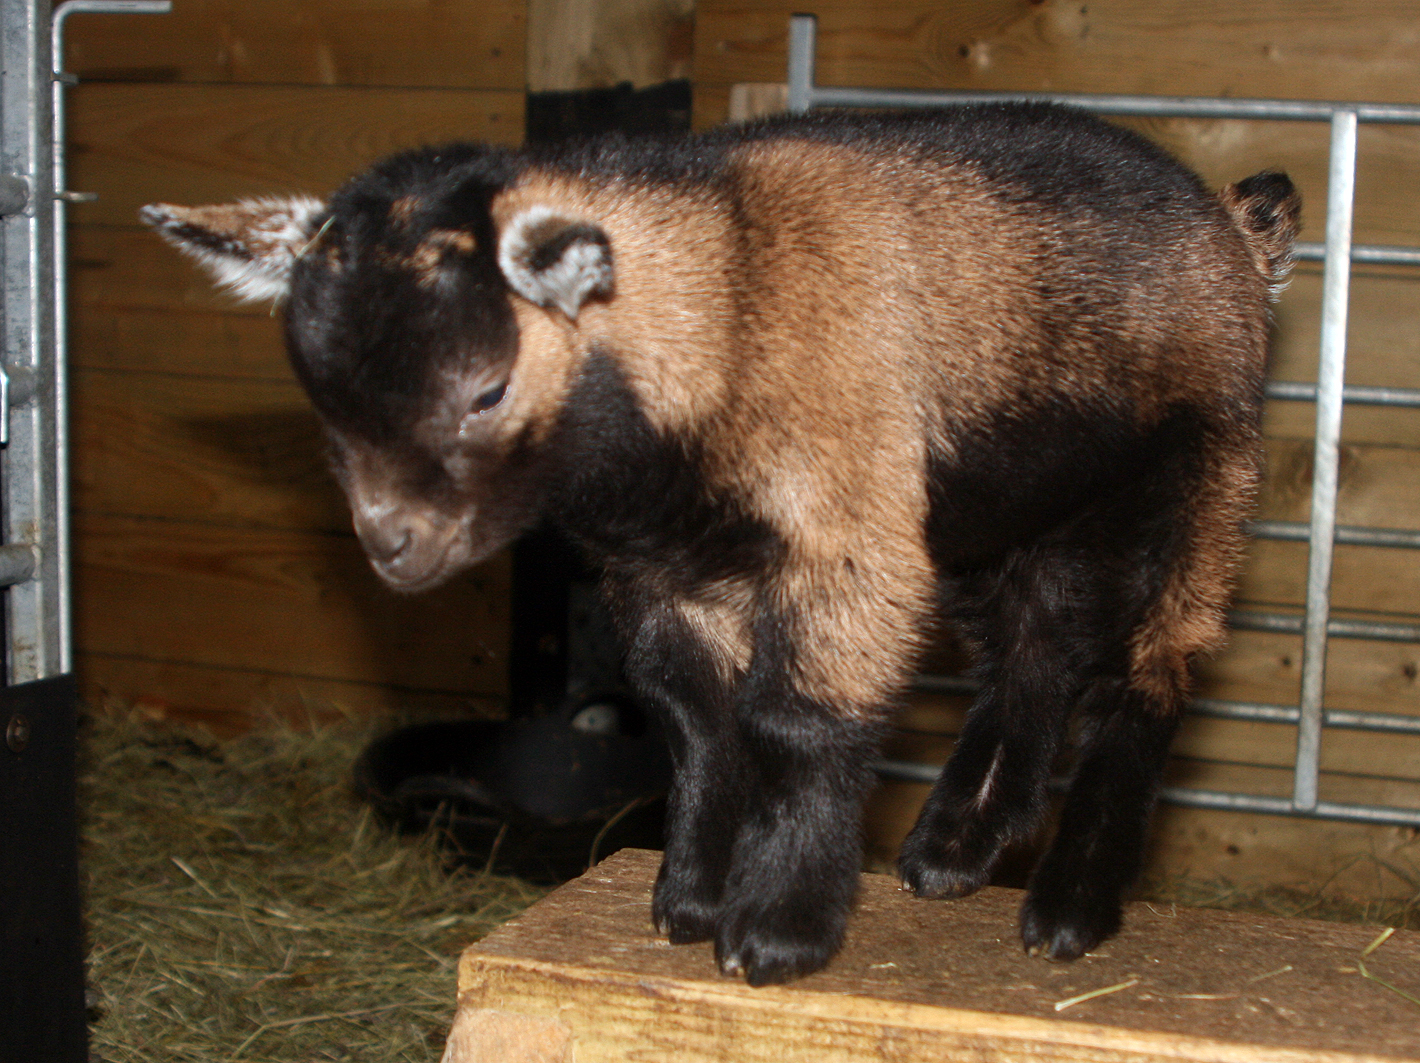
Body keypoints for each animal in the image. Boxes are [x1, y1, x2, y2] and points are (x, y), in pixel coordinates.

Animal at [143, 103, 1300, 986]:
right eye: (323, 400)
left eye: (486, 389)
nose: (394, 548)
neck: (723, 309)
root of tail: (1237, 226)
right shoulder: (662, 571)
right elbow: (696, 723)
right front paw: (691, 897)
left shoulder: (845, 533)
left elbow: (795, 720)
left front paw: (777, 929)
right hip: (1012, 521)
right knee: (1035, 654)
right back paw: (952, 848)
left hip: (1205, 477)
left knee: (1147, 675)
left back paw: (1068, 907)